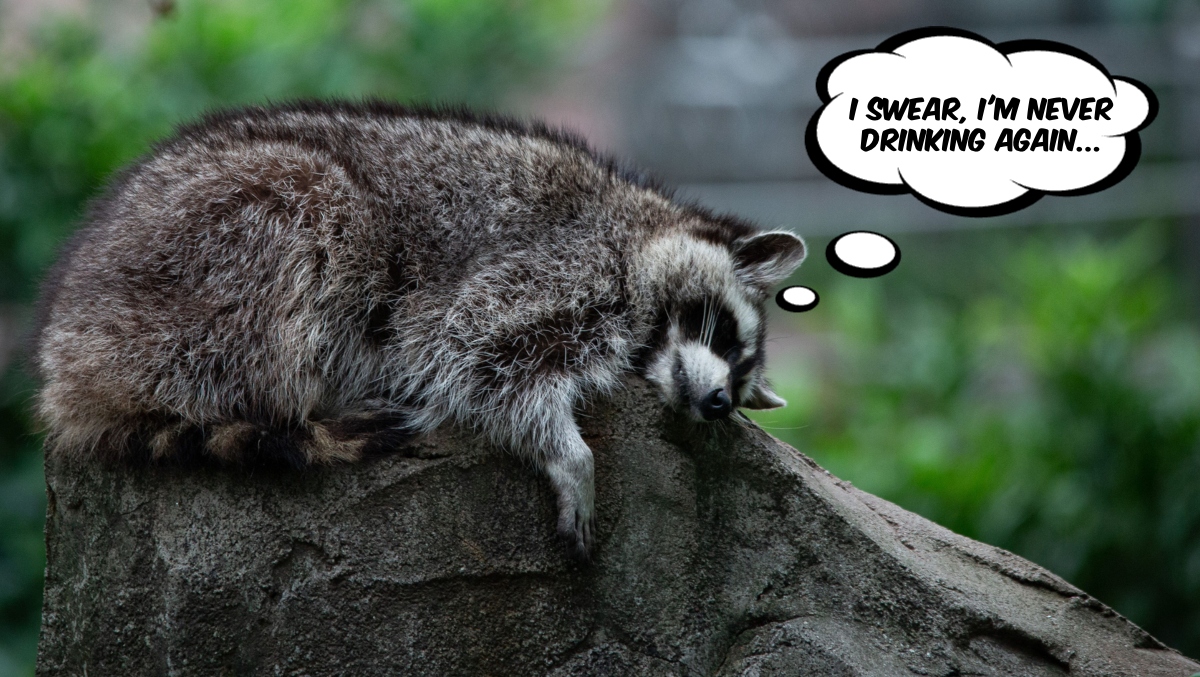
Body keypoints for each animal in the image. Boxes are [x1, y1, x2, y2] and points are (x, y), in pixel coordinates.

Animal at [31, 101, 806, 561]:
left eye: (744, 381)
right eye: (726, 335)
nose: (719, 404)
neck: (642, 222)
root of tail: (64, 347)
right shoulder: (560, 263)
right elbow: (477, 354)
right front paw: (569, 455)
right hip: (203, 262)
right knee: (310, 211)